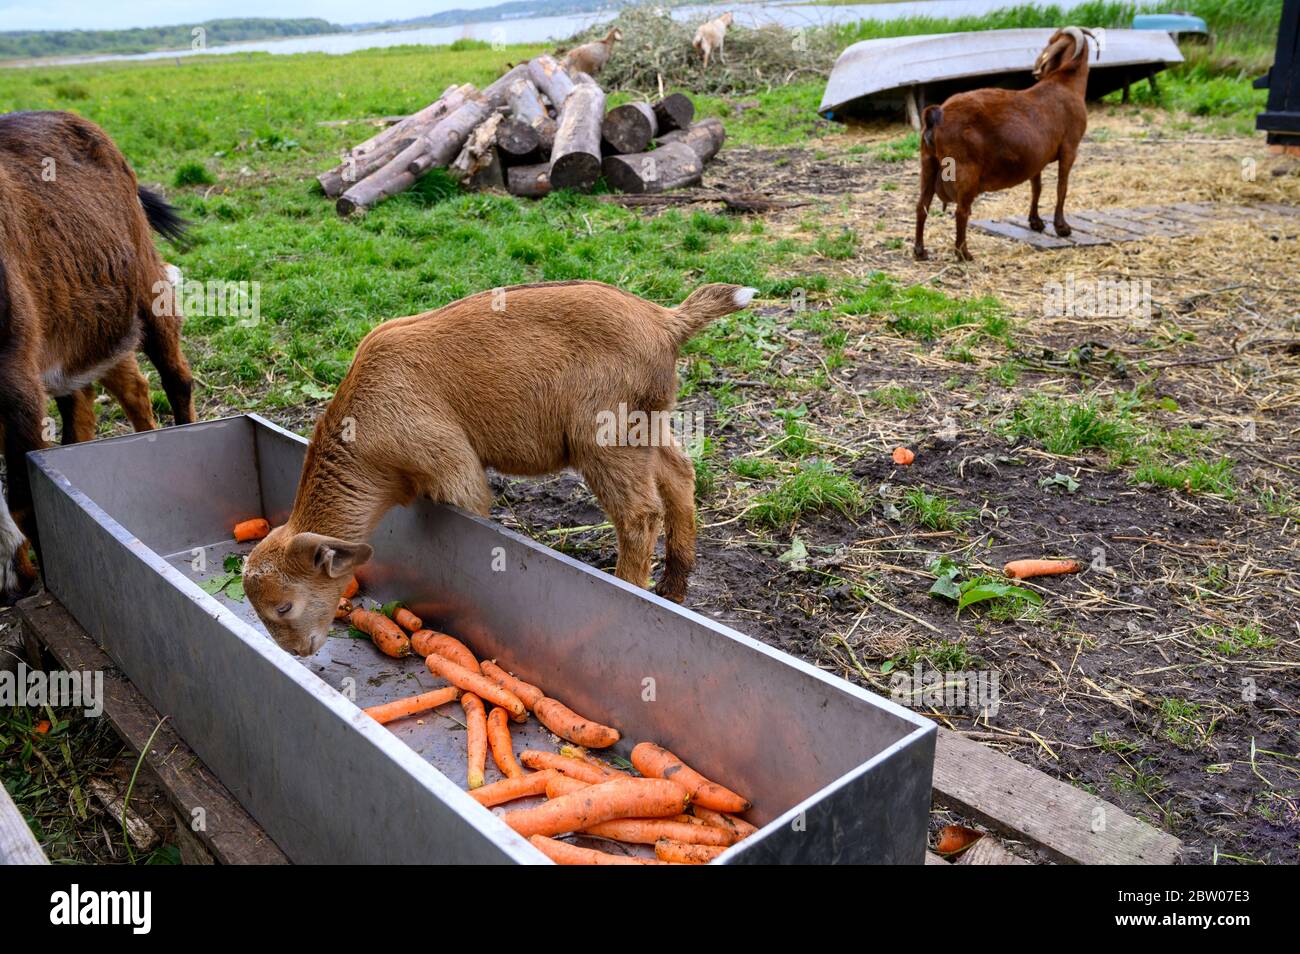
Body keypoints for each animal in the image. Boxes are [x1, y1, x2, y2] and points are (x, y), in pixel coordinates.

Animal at [0, 111, 196, 601]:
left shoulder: (16, 380)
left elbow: (23, 502)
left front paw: (37, 578)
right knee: (106, 399)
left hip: (144, 282)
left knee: (174, 377)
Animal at [243, 280, 756, 656]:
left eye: (284, 607)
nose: (299, 652)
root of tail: (665, 321)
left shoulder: (452, 465)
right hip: (648, 421)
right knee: (680, 473)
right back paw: (672, 586)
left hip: (605, 431)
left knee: (639, 514)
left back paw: (630, 590)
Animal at [914, 27, 1095, 262]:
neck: (1066, 83)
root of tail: (937, 115)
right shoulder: (1070, 148)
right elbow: (1061, 187)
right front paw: (1062, 227)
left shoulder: (1036, 157)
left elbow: (1036, 187)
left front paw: (1036, 222)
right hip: (965, 169)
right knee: (961, 211)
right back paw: (964, 253)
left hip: (928, 162)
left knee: (922, 206)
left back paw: (920, 251)